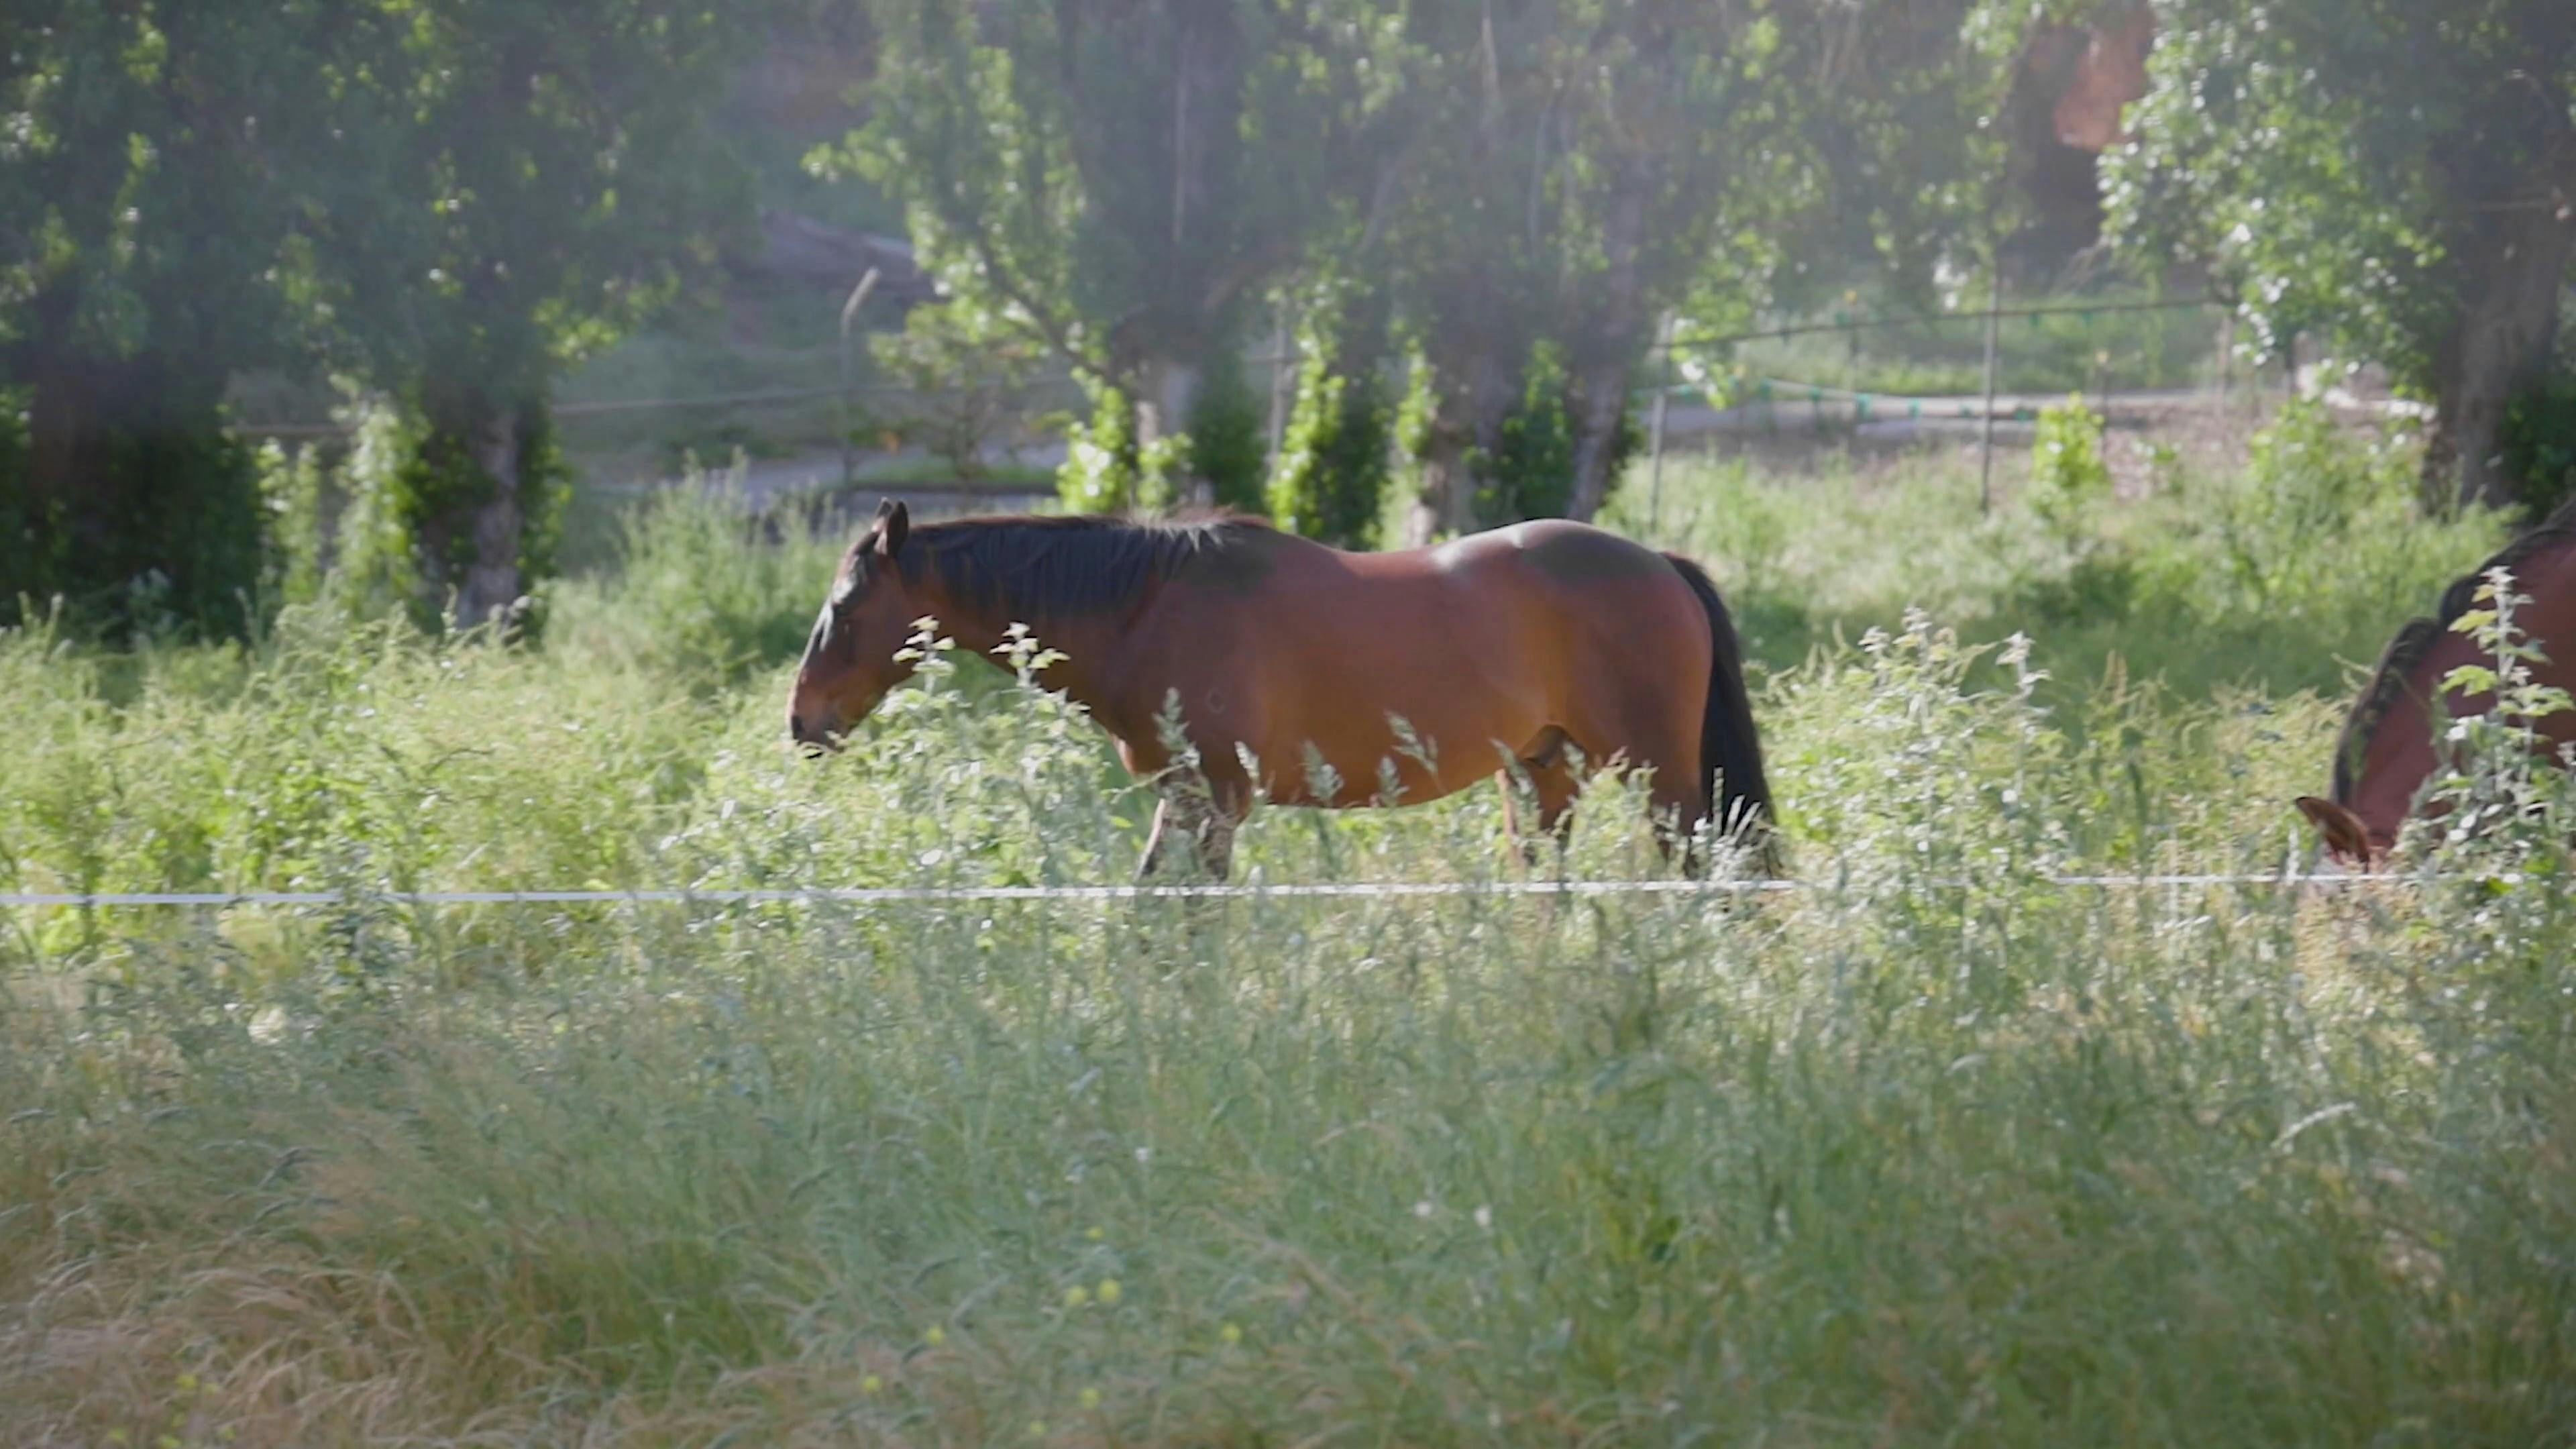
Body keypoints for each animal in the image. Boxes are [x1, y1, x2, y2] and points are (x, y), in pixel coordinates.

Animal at [787, 500, 1772, 880]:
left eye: (845, 607)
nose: (804, 723)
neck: (1148, 606)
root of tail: (1661, 565)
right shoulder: (1182, 798)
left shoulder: (1215, 797)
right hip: (1541, 777)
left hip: (1660, 778)